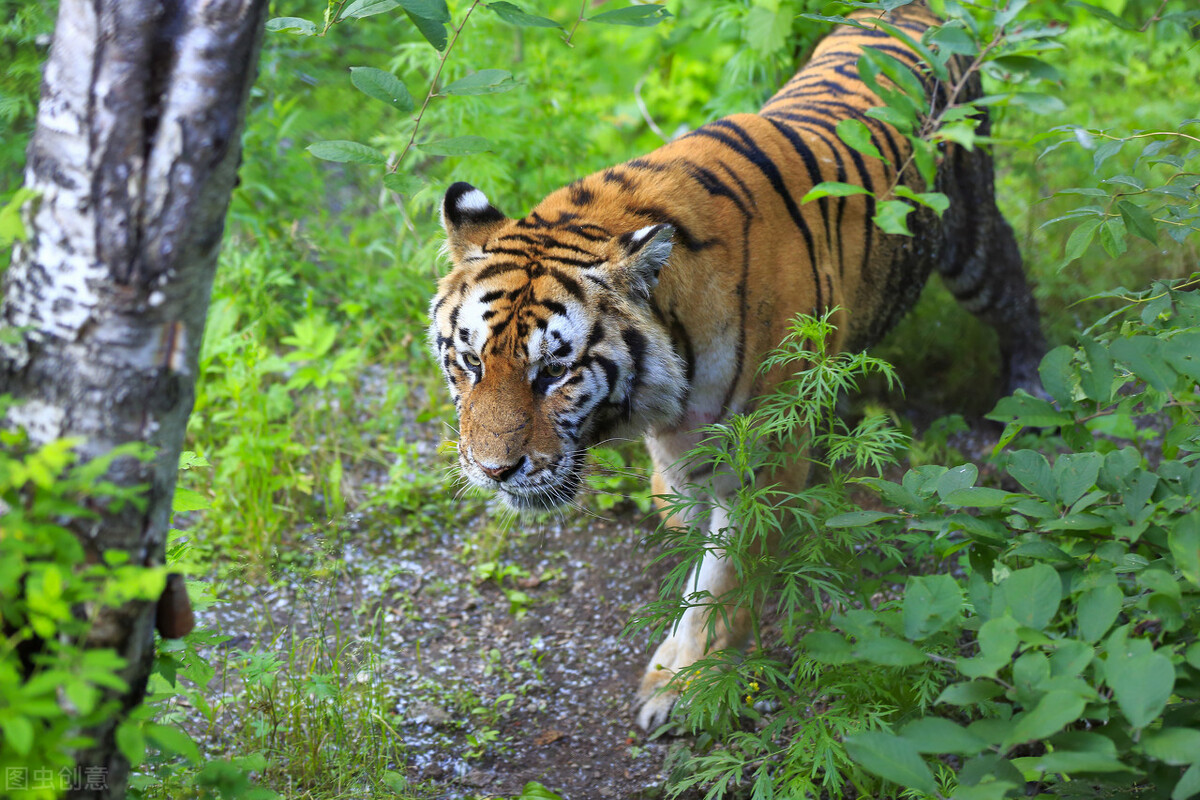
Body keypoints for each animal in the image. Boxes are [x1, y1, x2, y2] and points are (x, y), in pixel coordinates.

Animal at [428, 2, 1045, 730]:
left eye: (555, 372)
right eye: (470, 361)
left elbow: (721, 579)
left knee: (1015, 293)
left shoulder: (764, 452)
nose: (493, 471)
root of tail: (915, 11)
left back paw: (1033, 394)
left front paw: (682, 684)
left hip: (970, 234)